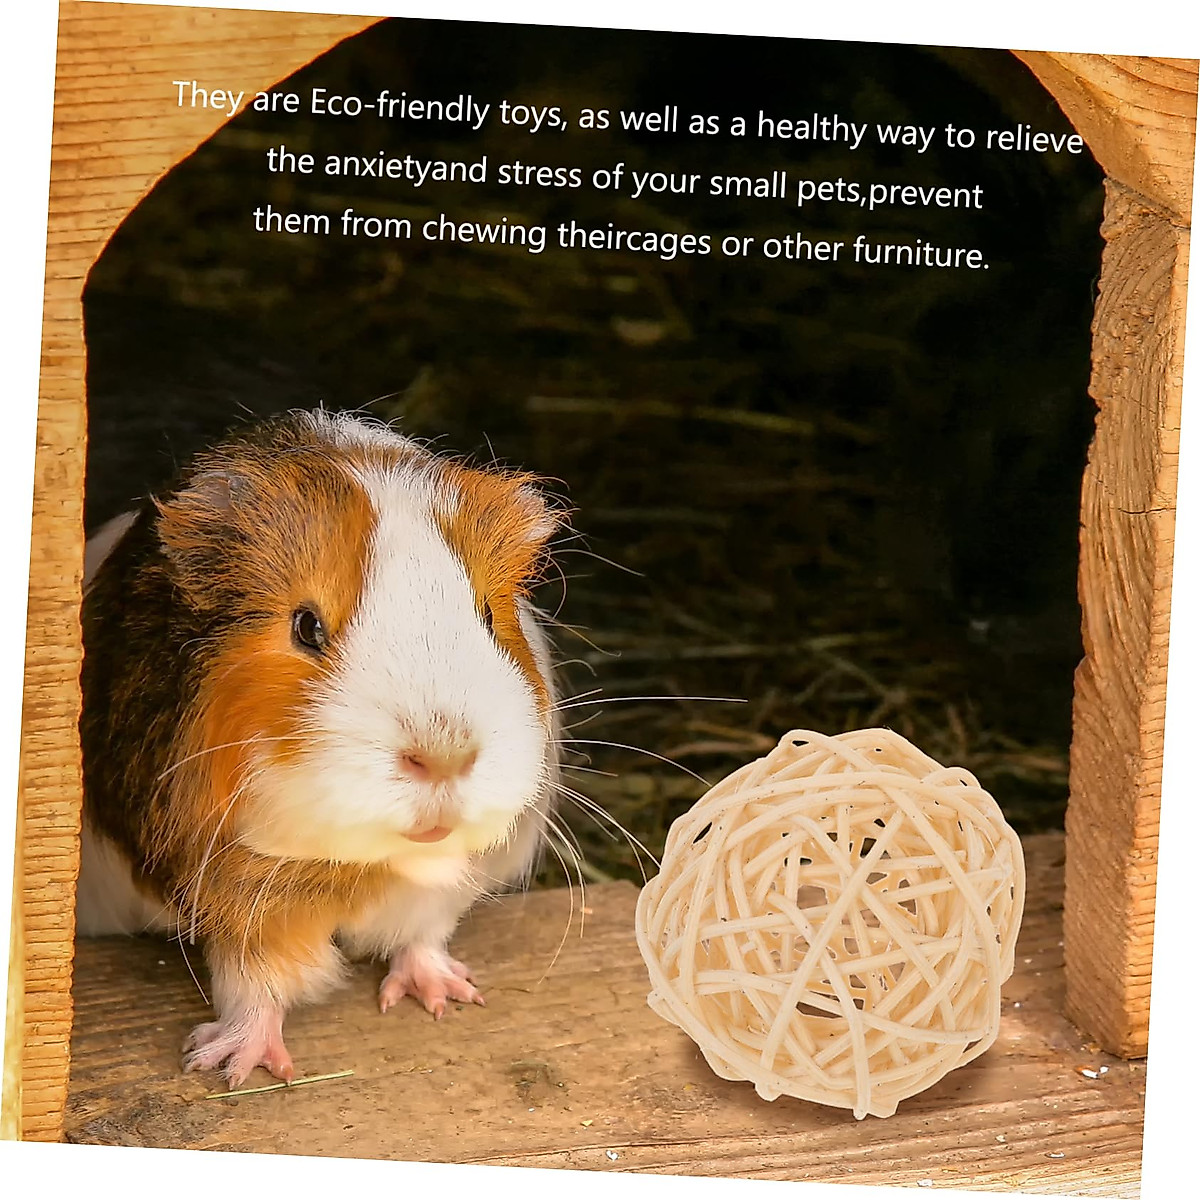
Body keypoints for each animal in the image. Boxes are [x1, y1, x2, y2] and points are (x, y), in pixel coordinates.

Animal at [77, 409, 564, 1087]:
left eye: (490, 618)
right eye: (306, 626)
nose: (444, 756)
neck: (360, 868)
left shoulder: (438, 888)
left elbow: (421, 935)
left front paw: (446, 997)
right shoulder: (238, 897)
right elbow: (254, 985)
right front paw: (236, 1069)